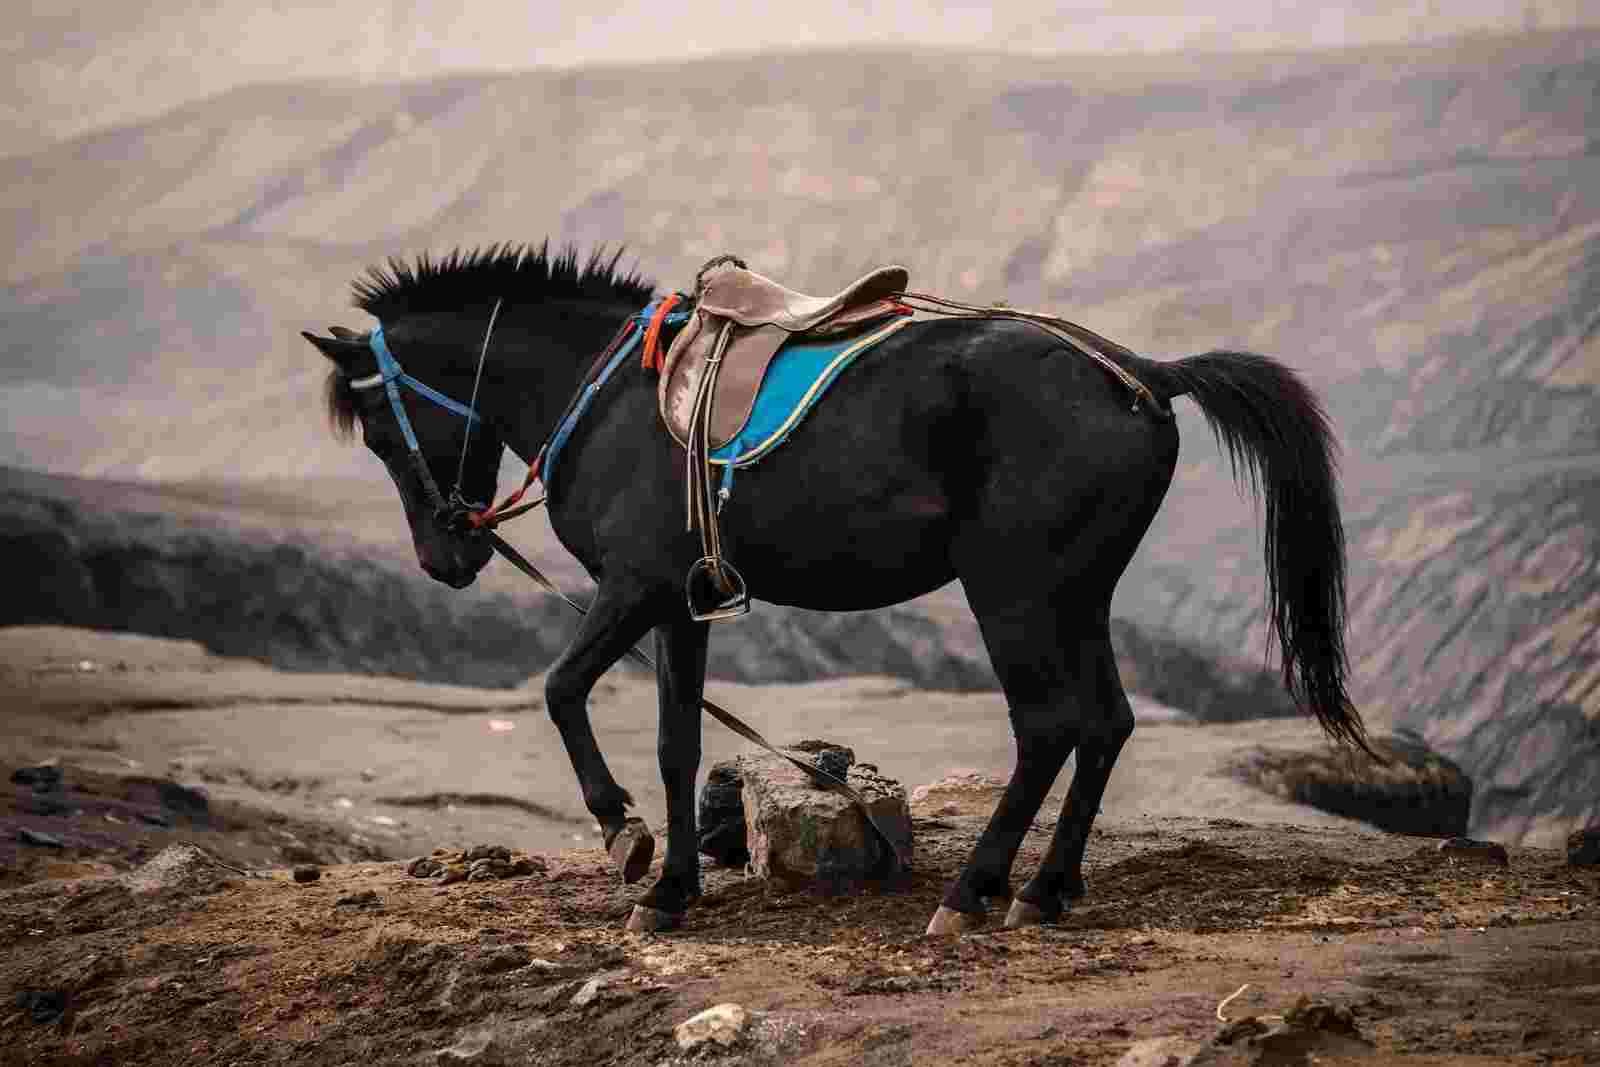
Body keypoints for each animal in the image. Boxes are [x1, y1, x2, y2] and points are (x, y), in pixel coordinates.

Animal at [301, 243, 1364, 935]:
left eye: (382, 432)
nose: (446, 559)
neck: (604, 394)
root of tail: (1141, 372)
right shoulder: (682, 603)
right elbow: (678, 744)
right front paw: (672, 891)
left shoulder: (633, 587)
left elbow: (563, 690)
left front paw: (624, 839)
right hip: (1077, 593)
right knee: (1104, 723)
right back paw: (1045, 889)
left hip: (1013, 591)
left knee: (1048, 726)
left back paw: (971, 892)